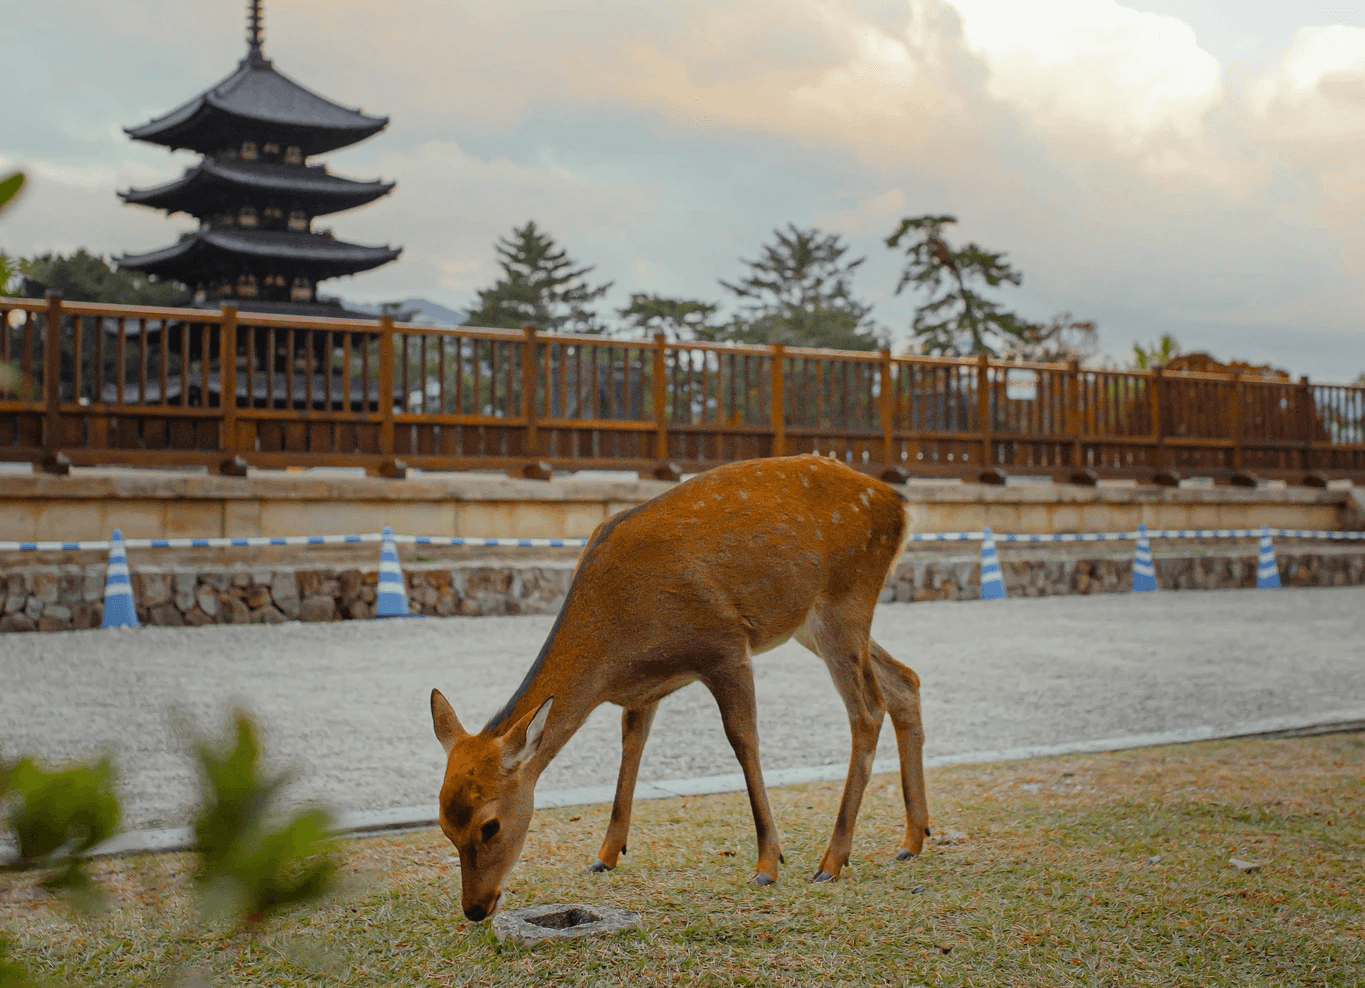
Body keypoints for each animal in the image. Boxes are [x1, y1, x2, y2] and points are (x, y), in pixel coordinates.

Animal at [430, 453, 929, 921]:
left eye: (490, 825)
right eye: (444, 826)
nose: (475, 908)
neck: (617, 647)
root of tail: (901, 507)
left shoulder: (725, 645)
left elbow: (743, 741)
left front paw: (768, 863)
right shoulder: (643, 690)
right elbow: (632, 746)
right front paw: (606, 855)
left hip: (844, 601)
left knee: (868, 709)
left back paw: (832, 860)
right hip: (812, 622)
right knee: (905, 679)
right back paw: (912, 839)